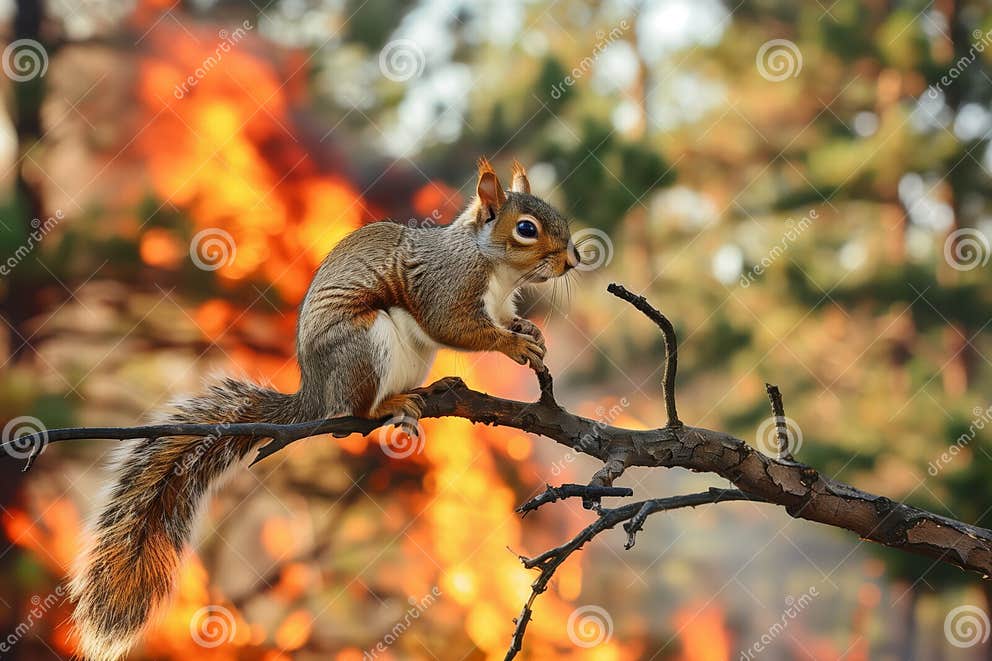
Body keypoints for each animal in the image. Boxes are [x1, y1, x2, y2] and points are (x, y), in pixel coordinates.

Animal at [69, 157, 581, 661]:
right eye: (527, 228)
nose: (573, 259)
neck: (495, 269)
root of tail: (314, 392)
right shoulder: (446, 287)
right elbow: (454, 327)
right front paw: (513, 344)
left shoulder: (497, 302)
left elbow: (505, 319)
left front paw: (528, 330)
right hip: (366, 344)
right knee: (352, 415)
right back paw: (390, 404)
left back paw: (432, 389)